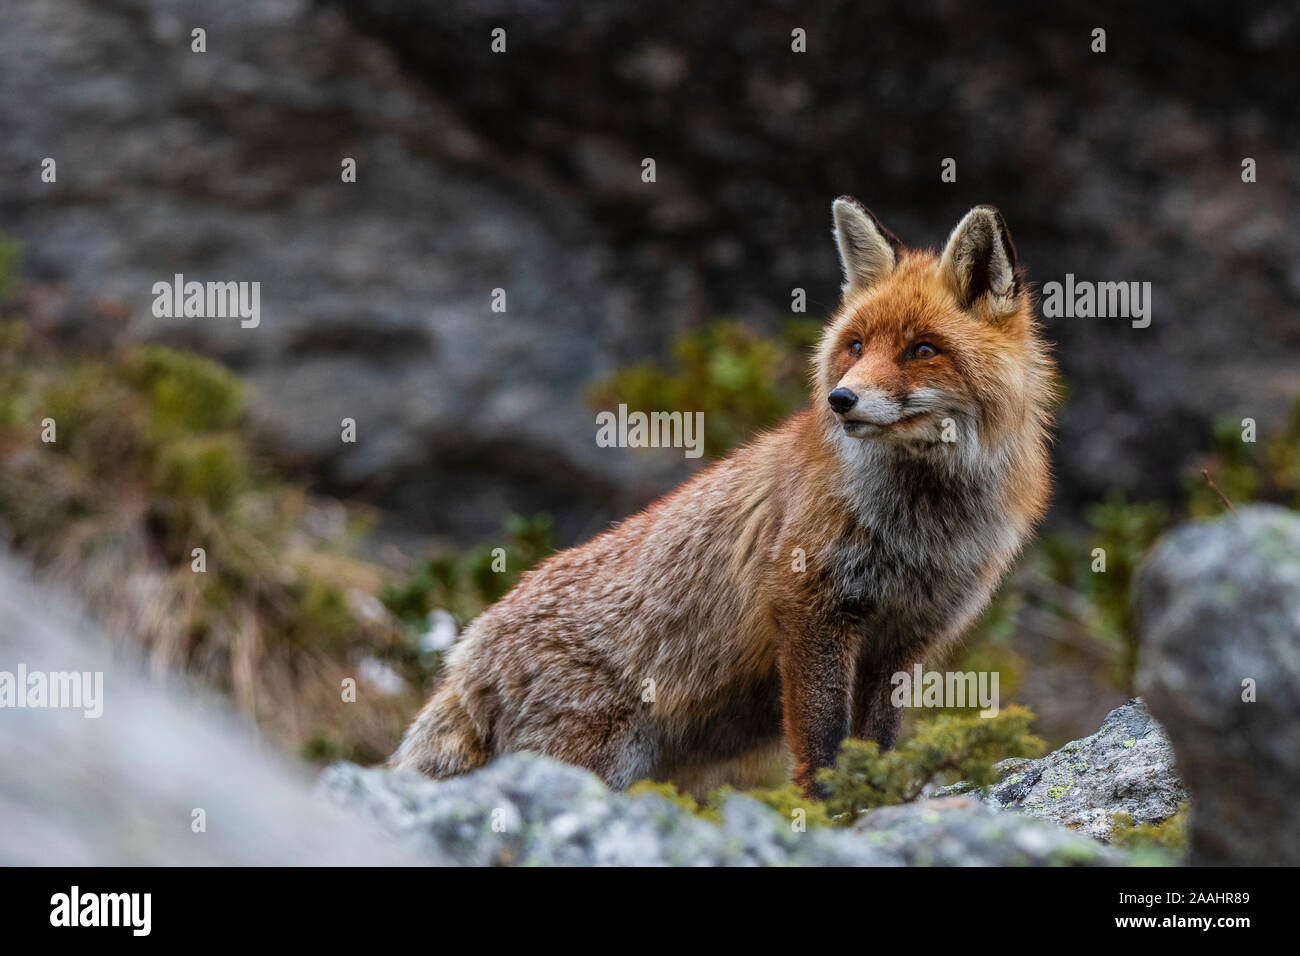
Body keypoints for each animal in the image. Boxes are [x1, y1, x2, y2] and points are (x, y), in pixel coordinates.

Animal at [392, 198, 1054, 798]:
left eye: (922, 349)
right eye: (856, 346)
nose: (840, 399)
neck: (922, 524)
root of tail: (465, 650)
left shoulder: (904, 639)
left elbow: (876, 743)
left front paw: (876, 803)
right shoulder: (811, 609)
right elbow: (822, 745)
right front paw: (825, 813)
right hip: (596, 756)